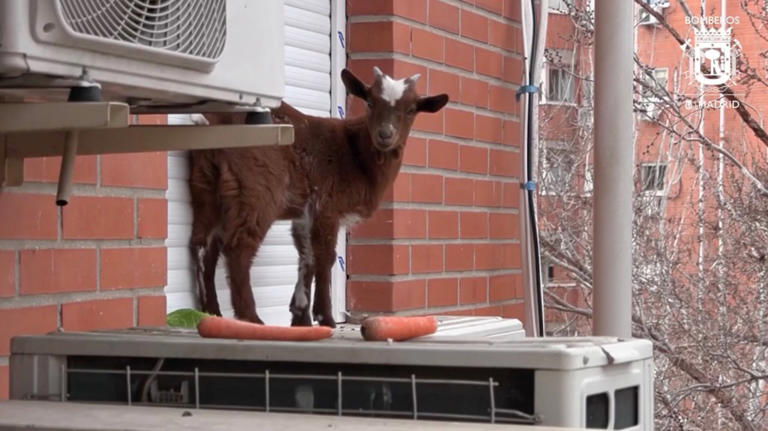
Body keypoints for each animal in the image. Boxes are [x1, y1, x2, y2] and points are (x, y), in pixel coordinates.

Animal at [189, 67, 449, 328]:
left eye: (411, 109)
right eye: (370, 102)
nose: (385, 134)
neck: (356, 154)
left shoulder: (306, 213)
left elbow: (307, 255)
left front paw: (300, 316)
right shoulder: (327, 205)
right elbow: (325, 256)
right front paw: (325, 317)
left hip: (205, 183)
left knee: (202, 244)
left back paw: (211, 312)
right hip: (258, 187)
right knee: (239, 246)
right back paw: (250, 317)